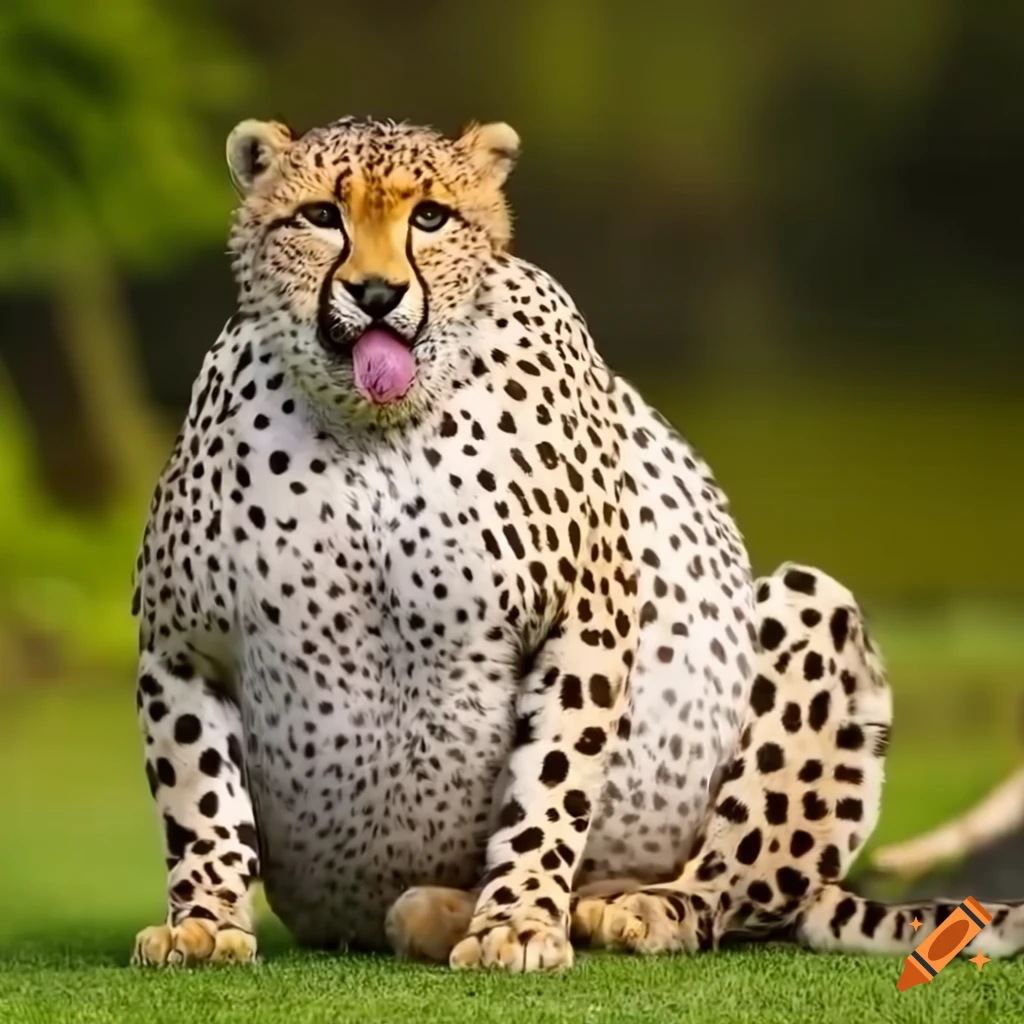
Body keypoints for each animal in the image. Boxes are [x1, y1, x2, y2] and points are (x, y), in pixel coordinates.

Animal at [129, 114, 1023, 973]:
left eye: (430, 217)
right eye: (320, 216)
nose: (378, 294)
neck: (375, 429)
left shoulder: (583, 619)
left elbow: (550, 785)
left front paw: (519, 923)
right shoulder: (179, 645)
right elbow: (197, 798)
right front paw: (203, 923)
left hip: (807, 606)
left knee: (731, 889)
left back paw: (632, 910)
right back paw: (440, 910)